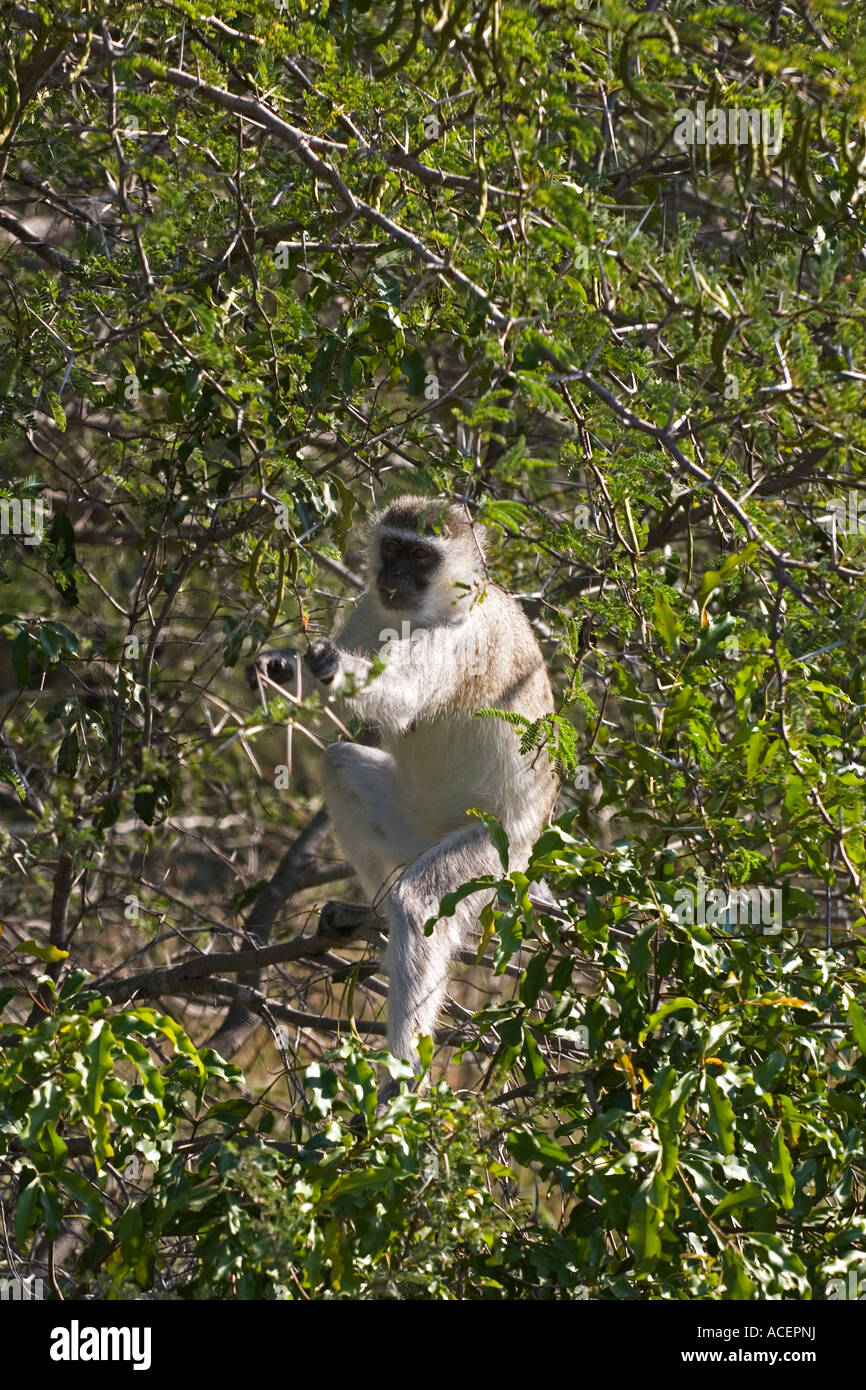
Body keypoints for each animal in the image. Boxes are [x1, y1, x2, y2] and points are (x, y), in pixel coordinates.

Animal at [248, 496, 558, 1064]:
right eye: (392, 547)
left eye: (420, 555)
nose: (391, 575)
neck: (427, 613)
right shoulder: (371, 607)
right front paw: (281, 666)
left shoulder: (460, 641)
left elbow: (404, 695)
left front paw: (329, 665)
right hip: (415, 829)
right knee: (340, 766)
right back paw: (371, 918)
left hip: (497, 854)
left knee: (420, 903)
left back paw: (403, 1072)